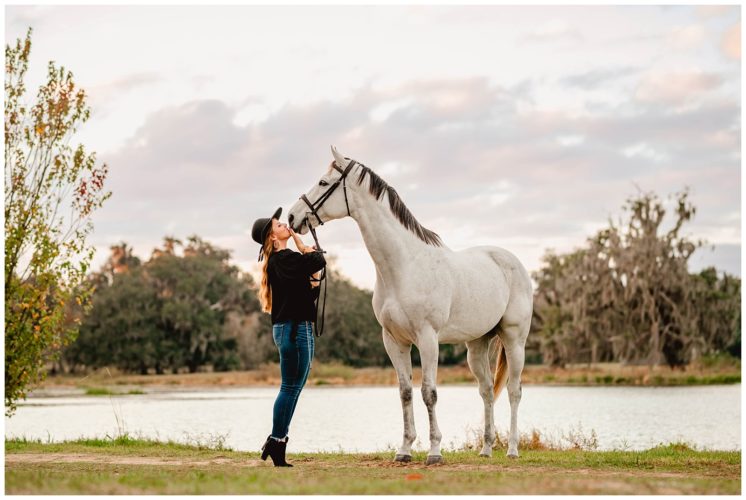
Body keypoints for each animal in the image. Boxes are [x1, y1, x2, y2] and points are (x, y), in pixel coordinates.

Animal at [287, 146, 533, 464]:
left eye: (323, 183)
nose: (292, 216)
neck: (403, 266)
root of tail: (513, 262)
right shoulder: (394, 340)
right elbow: (405, 392)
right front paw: (404, 450)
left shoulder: (427, 339)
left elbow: (429, 392)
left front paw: (434, 451)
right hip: (477, 345)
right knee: (487, 391)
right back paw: (487, 448)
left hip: (514, 340)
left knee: (514, 390)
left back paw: (512, 449)